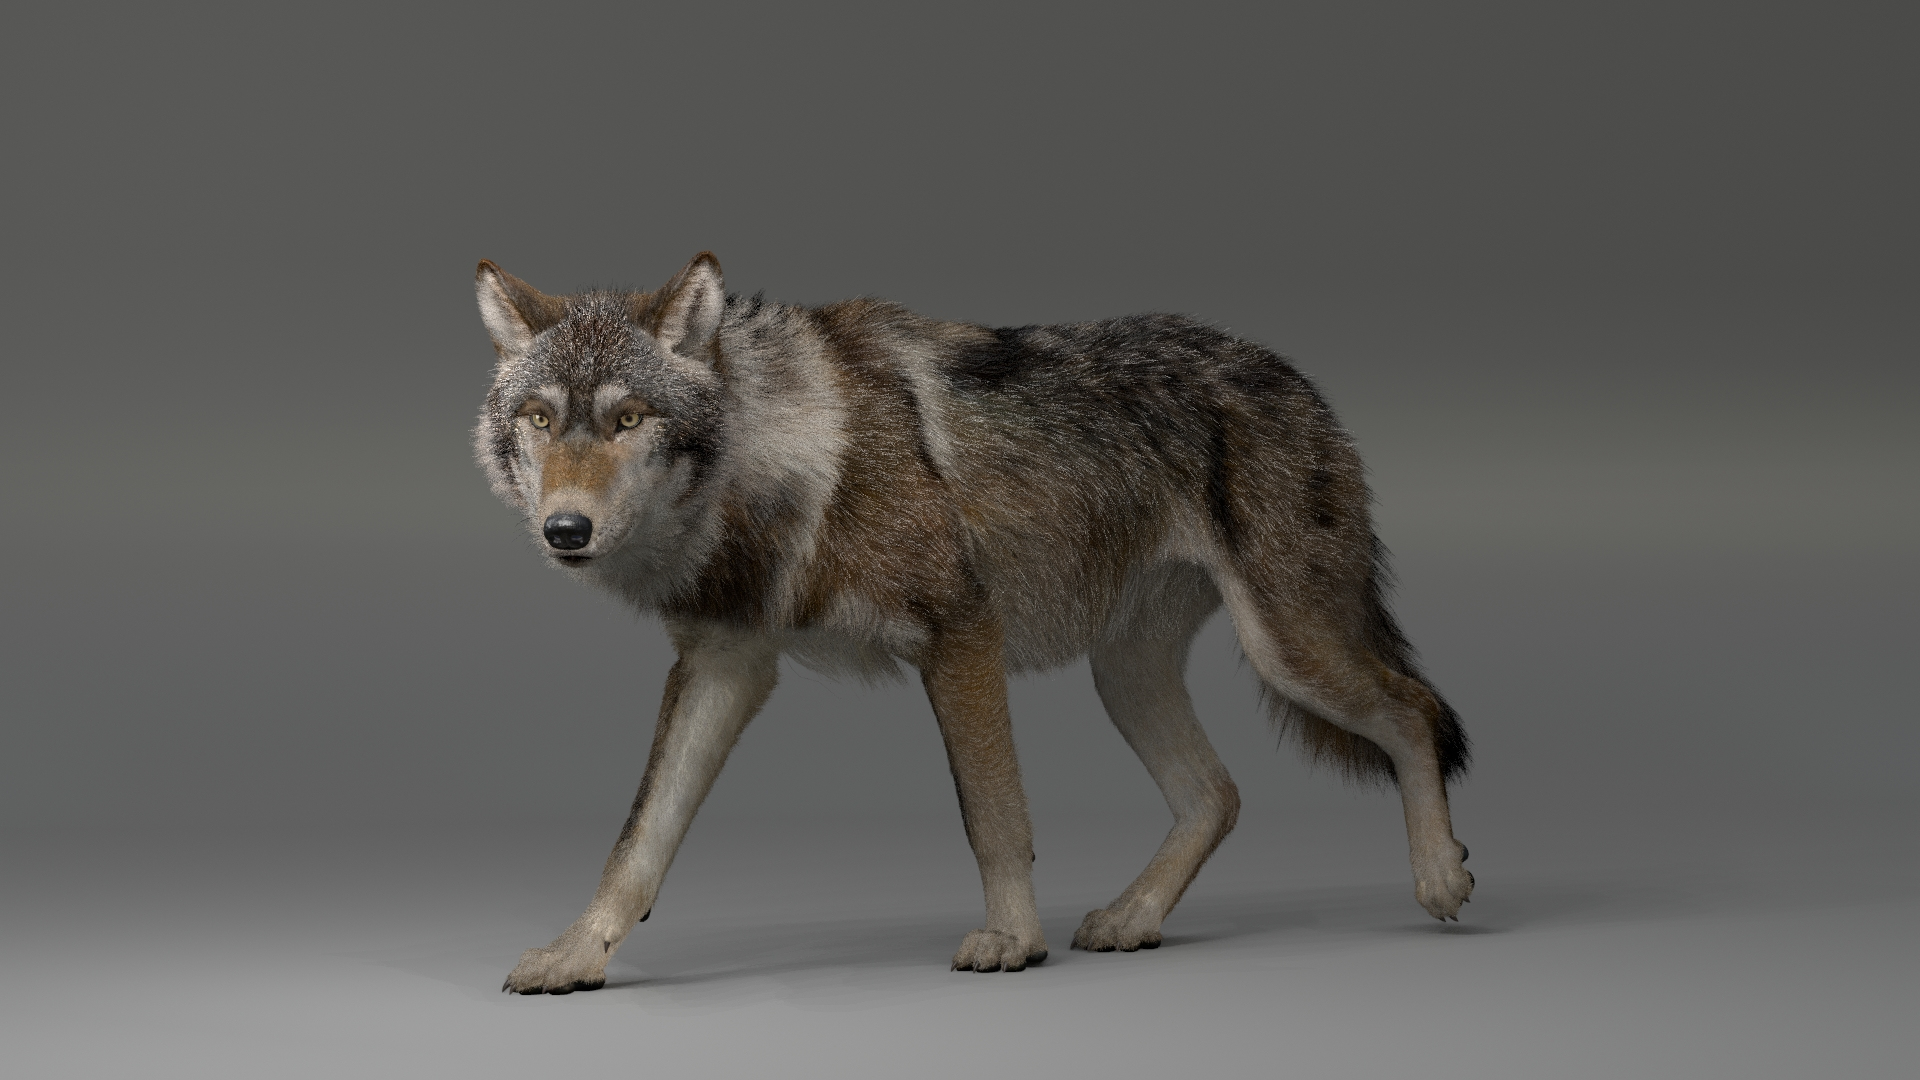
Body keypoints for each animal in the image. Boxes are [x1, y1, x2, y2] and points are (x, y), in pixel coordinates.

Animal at [474, 253, 1472, 994]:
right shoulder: (725, 664)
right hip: (1125, 675)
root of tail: (1292, 375)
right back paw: (1134, 918)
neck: (788, 466)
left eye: (628, 418)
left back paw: (1441, 875)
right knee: (1216, 793)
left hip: (1285, 650)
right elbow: (639, 839)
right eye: (540, 418)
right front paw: (577, 954)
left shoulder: (960, 634)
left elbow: (992, 813)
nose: (566, 531)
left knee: (1415, 712)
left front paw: (1014, 940)